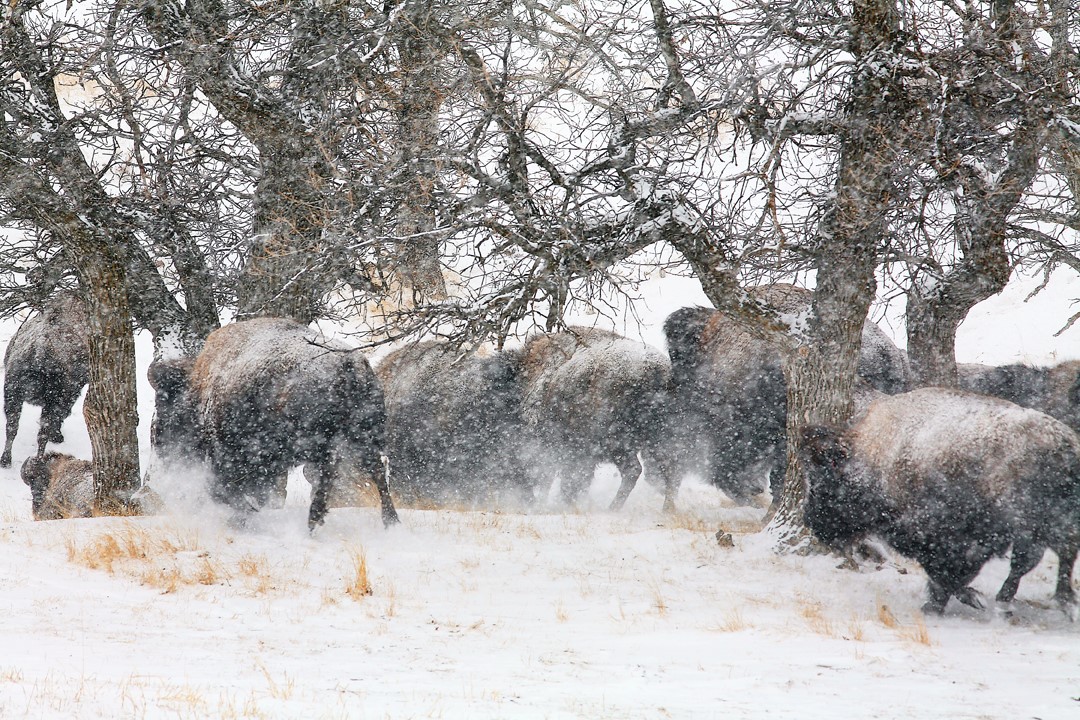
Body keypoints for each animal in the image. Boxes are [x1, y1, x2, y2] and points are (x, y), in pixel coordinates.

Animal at [2, 293, 89, 468]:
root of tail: (38, 351)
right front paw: (58, 436)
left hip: (12, 397)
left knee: (12, 428)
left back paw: (5, 460)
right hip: (48, 401)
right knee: (42, 433)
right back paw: (40, 459)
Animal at [147, 318, 398, 529]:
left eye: (164, 402)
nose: (158, 441)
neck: (199, 386)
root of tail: (349, 363)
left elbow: (222, 489)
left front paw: (244, 514)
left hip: (324, 441)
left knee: (330, 472)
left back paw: (313, 520)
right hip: (365, 434)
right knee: (374, 471)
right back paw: (390, 521)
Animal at [516, 327, 677, 512]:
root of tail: (655, 369)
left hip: (618, 443)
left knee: (633, 470)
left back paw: (612, 509)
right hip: (657, 439)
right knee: (669, 466)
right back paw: (666, 509)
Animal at [800, 387, 1080, 615]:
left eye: (820, 483)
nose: (811, 522)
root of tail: (1063, 447)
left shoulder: (935, 534)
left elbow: (944, 571)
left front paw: (953, 601)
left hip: (1031, 526)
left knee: (1035, 559)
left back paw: (1014, 602)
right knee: (1056, 556)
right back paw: (1056, 602)